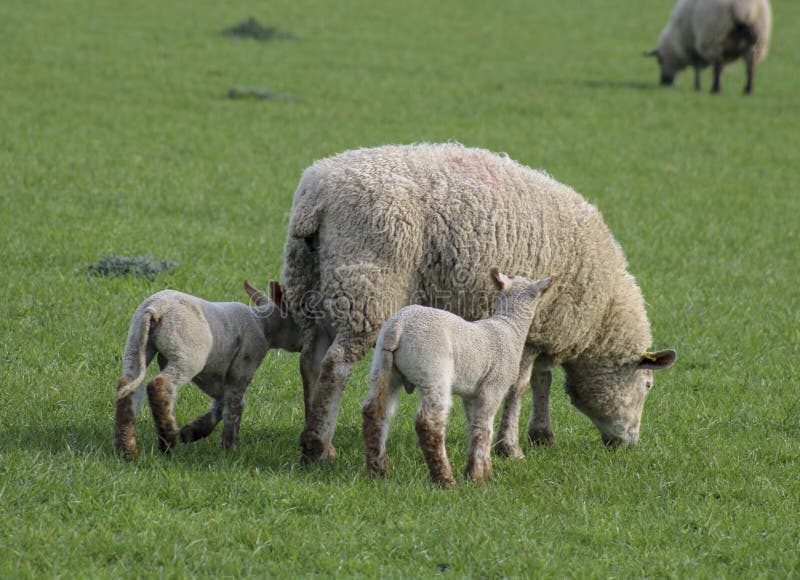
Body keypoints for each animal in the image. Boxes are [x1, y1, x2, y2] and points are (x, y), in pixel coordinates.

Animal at [113, 280, 301, 459]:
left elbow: (221, 402)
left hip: (136, 342)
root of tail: (156, 308)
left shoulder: (215, 374)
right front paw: (230, 451)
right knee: (160, 385)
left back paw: (127, 449)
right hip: (187, 354)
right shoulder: (243, 366)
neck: (262, 324)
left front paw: (193, 431)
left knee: (128, 386)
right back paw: (167, 441)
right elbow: (234, 407)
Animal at [280, 143, 677, 464]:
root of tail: (318, 195)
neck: (602, 310)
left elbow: (542, 382)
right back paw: (318, 447)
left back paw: (315, 434)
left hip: (310, 287)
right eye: (647, 386)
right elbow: (519, 387)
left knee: (310, 362)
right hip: (366, 288)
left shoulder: (544, 328)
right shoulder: (530, 330)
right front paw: (510, 447)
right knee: (336, 365)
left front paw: (541, 435)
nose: (628, 443)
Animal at [362, 269, 552, 486]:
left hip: (383, 367)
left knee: (375, 411)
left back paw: (378, 471)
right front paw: (478, 476)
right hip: (433, 370)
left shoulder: (471, 394)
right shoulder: (493, 387)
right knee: (428, 424)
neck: (509, 328)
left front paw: (482, 470)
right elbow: (484, 429)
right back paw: (445, 479)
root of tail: (398, 328)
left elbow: (474, 428)